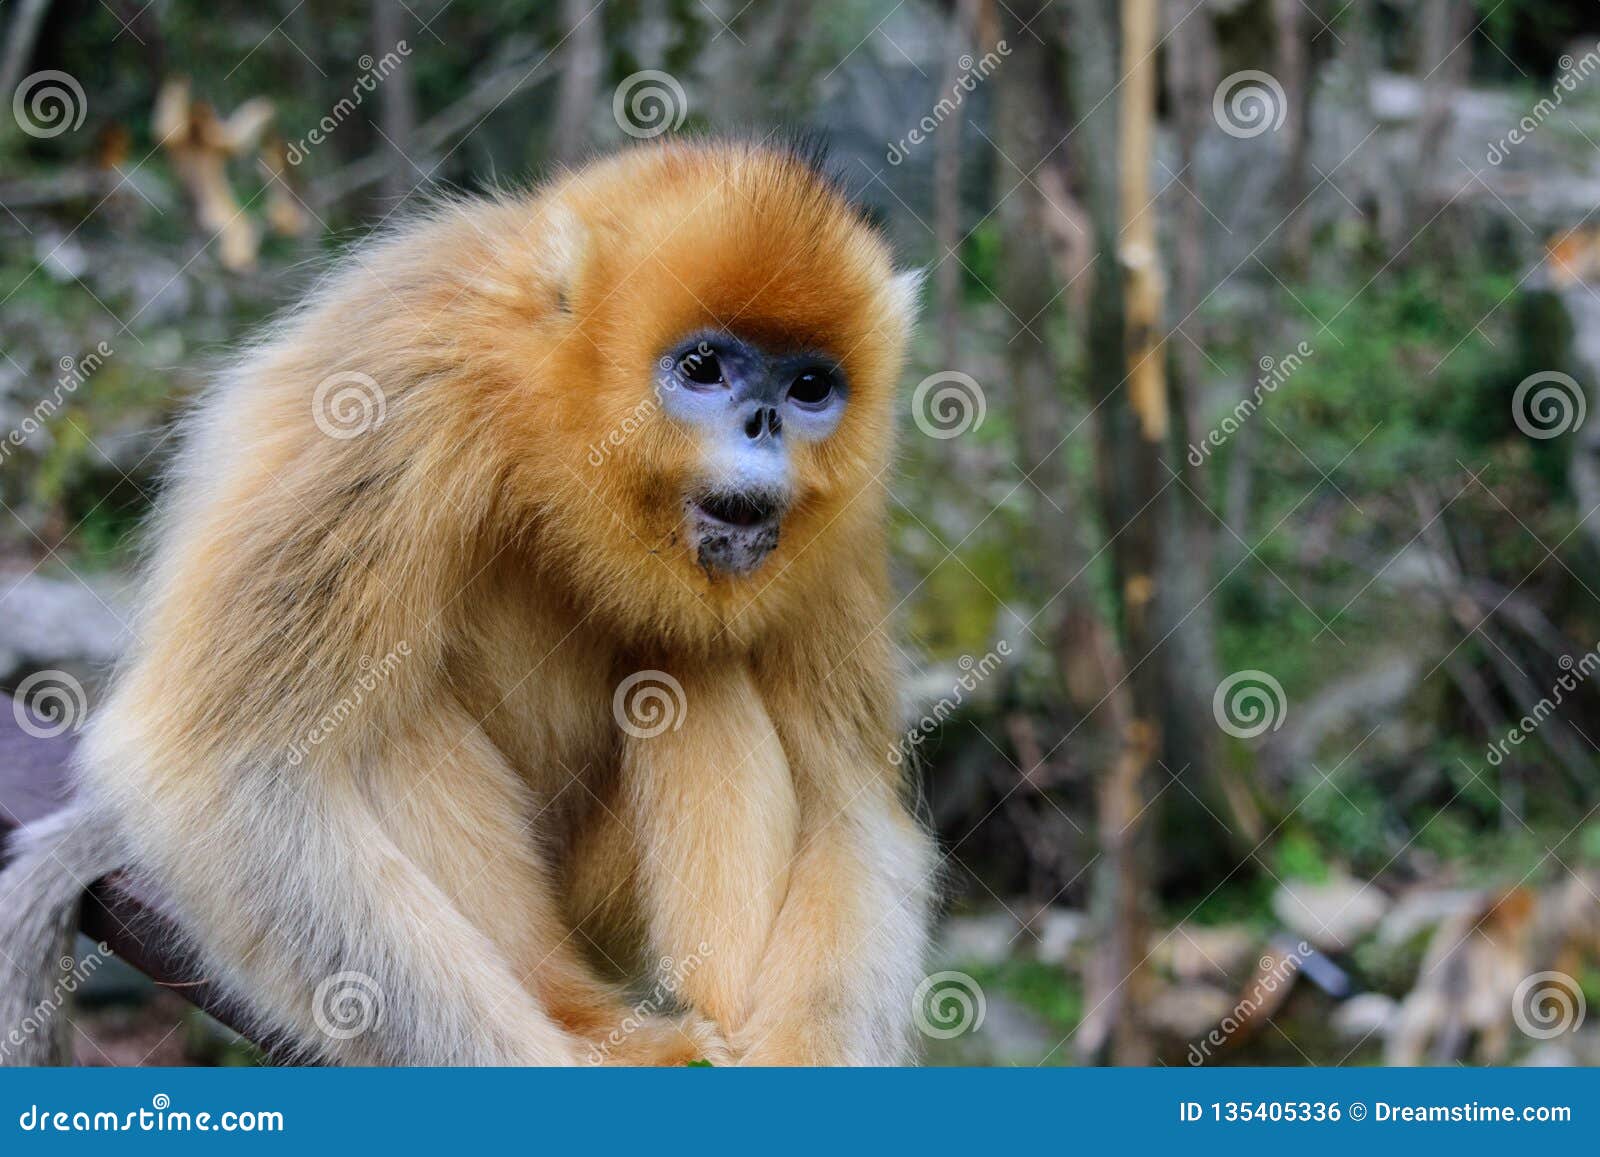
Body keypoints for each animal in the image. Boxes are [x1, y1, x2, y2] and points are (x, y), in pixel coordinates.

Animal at [0, 138, 934, 1066]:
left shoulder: (844, 514)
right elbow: (224, 770)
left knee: (696, 666)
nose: (764, 422)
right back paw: (585, 1021)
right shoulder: (402, 397)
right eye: (703, 368)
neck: (541, 427)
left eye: (810, 386)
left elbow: (850, 814)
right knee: (383, 712)